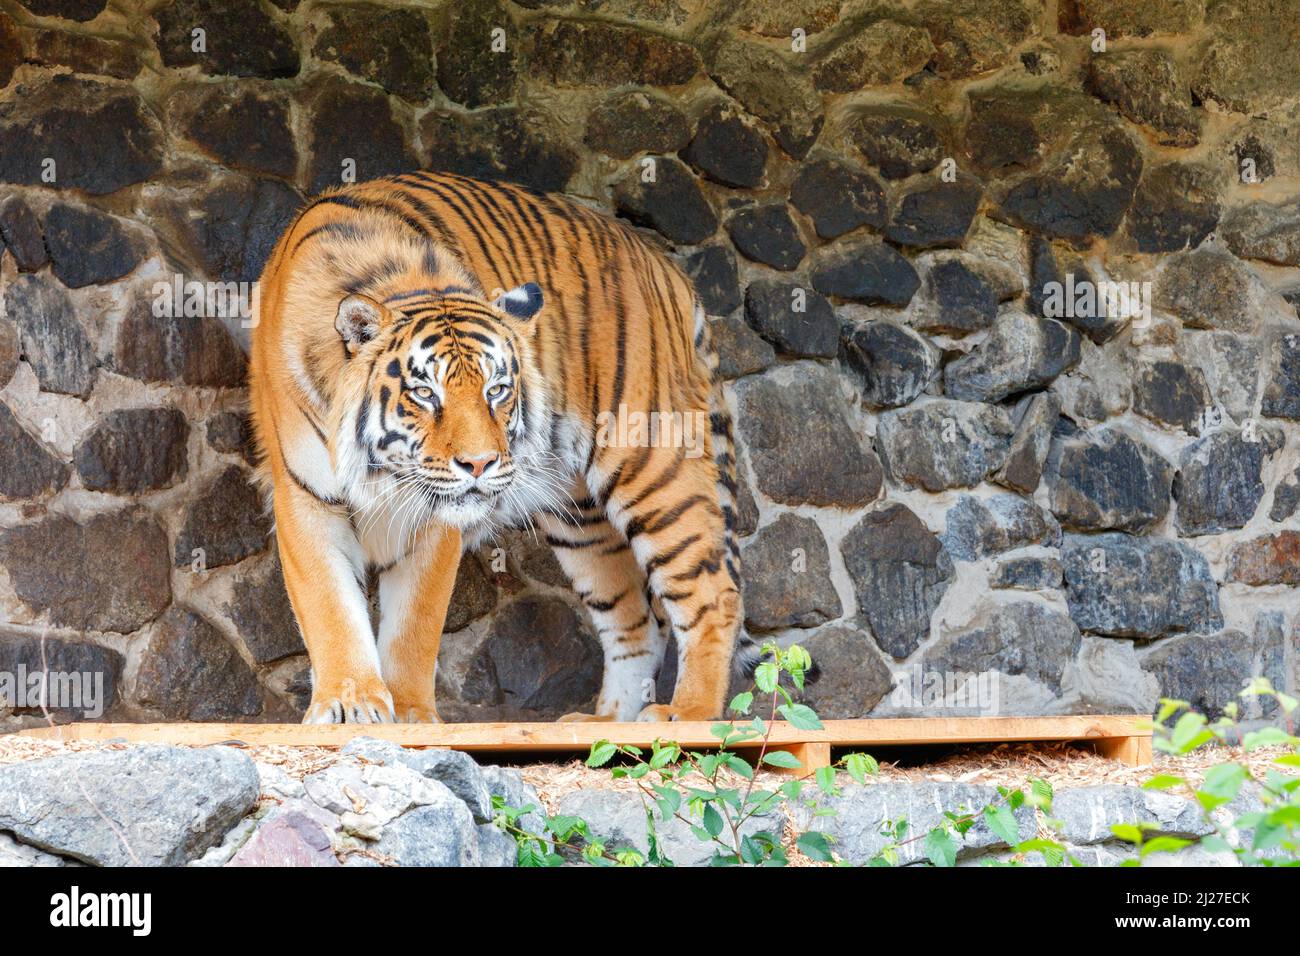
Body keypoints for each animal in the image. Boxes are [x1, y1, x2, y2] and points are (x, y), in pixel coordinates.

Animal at [249, 170, 752, 724]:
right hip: (579, 517)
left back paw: (687, 714)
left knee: (716, 593)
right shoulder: (306, 498)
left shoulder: (435, 517)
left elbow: (414, 626)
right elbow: (330, 610)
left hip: (650, 464)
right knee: (636, 618)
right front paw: (349, 704)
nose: (479, 463)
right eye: (425, 393)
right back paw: (604, 721)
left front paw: (410, 713)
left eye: (496, 390)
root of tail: (670, 269)